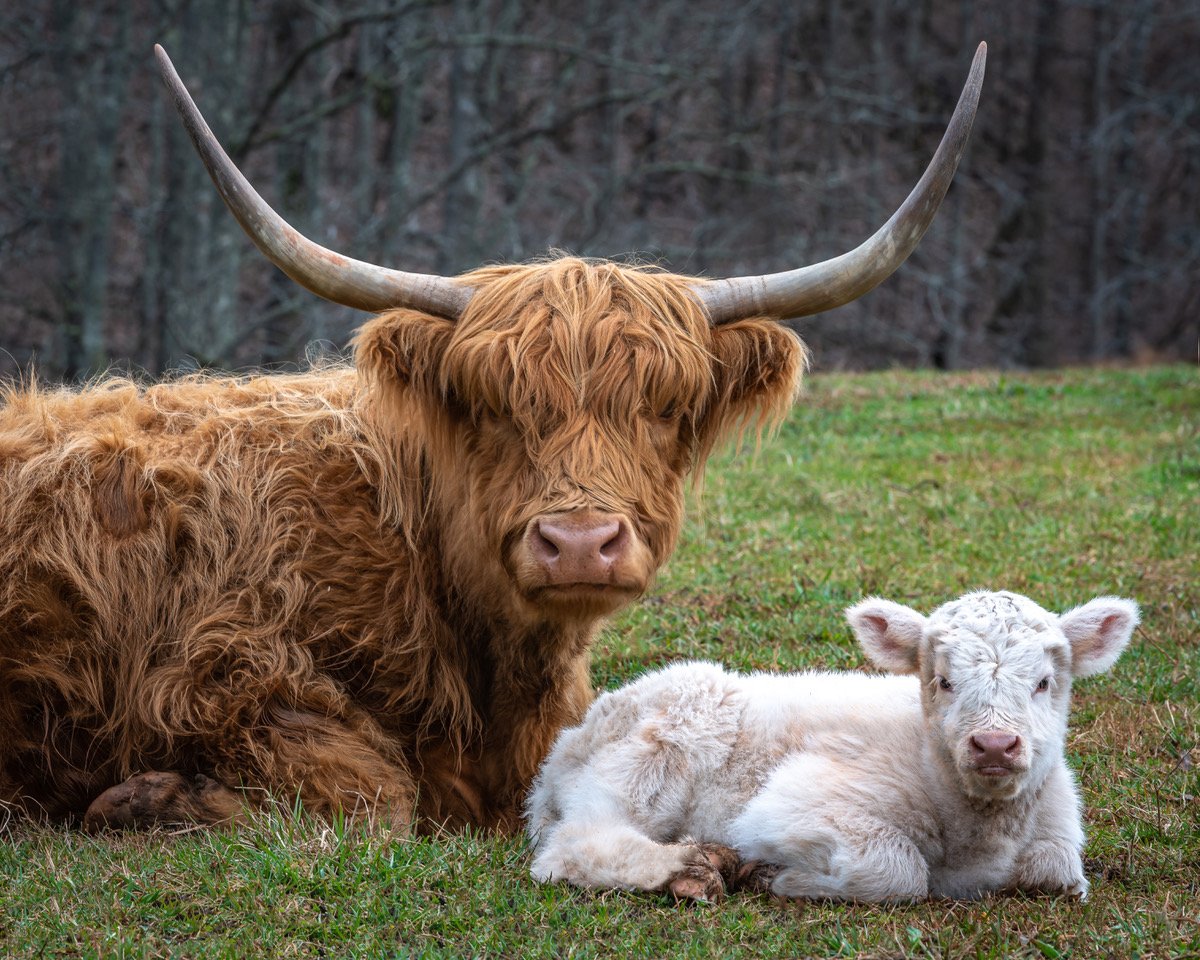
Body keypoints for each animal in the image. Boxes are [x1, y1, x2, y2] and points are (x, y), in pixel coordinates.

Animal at [0, 44, 984, 834]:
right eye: (493, 405)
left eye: (665, 407)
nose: (580, 543)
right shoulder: (221, 674)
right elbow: (375, 797)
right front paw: (141, 799)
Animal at [525, 591, 1138, 901]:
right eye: (942, 681)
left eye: (1045, 683)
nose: (993, 746)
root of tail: (565, 747)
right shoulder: (795, 802)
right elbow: (900, 872)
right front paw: (777, 876)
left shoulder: (1058, 835)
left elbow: (1056, 873)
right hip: (661, 742)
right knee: (575, 845)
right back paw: (691, 863)